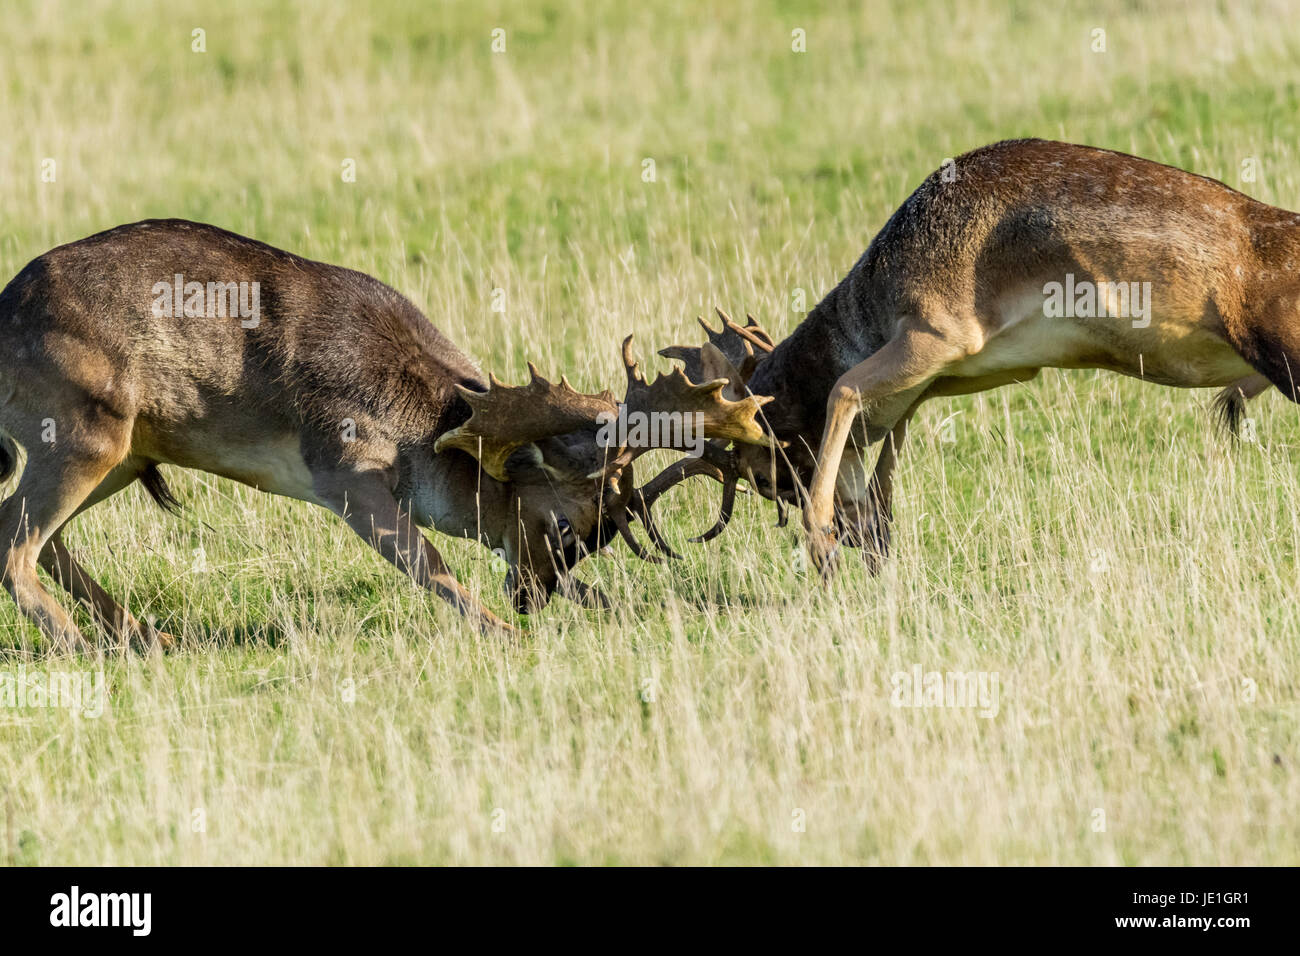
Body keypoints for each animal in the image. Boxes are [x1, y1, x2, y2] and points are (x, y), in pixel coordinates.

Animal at [0, 219, 769, 653]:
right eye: (561, 523)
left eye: (607, 531)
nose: (532, 597)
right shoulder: (344, 470)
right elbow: (429, 559)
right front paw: (498, 631)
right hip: (85, 429)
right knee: (15, 538)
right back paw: (81, 645)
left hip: (128, 454)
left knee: (42, 535)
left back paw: (143, 634)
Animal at [642, 138, 1296, 574]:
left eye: (769, 474)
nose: (859, 543)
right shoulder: (981, 367)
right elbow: (896, 422)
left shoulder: (937, 334)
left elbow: (845, 389)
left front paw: (819, 542)